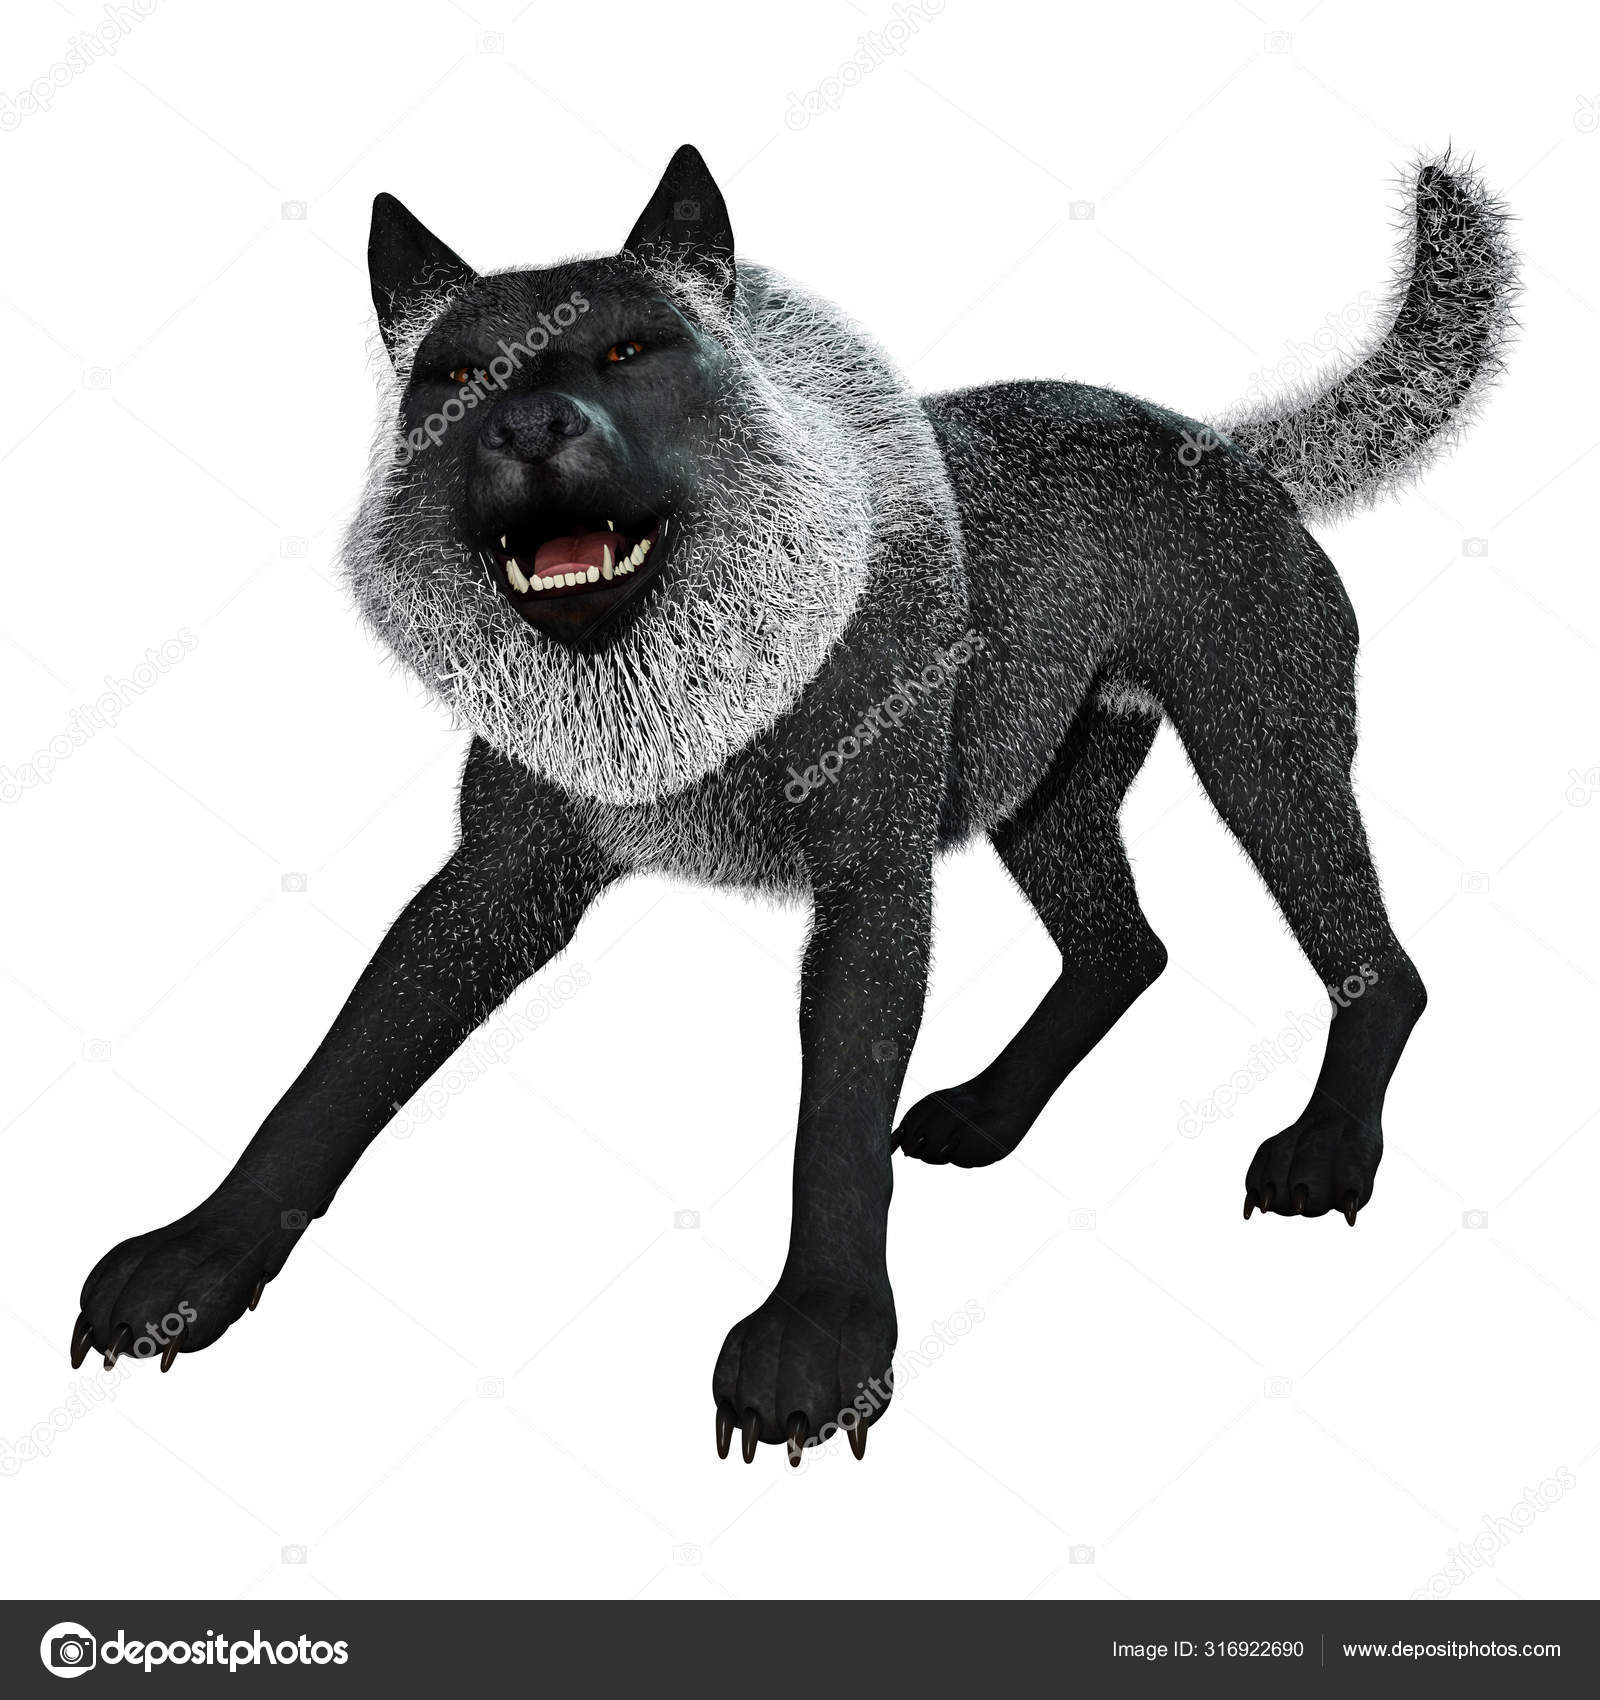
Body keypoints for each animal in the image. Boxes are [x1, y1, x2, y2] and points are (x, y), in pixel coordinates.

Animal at [75, 145, 1516, 1463]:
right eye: (457, 375)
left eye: (628, 351)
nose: (527, 432)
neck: (669, 683)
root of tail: (1226, 443)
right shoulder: (497, 879)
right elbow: (338, 1065)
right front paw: (191, 1264)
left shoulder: (873, 876)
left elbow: (836, 1118)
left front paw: (818, 1344)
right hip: (1045, 804)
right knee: (1126, 945)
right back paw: (986, 1115)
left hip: (1265, 758)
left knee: (1377, 966)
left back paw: (1323, 1151)